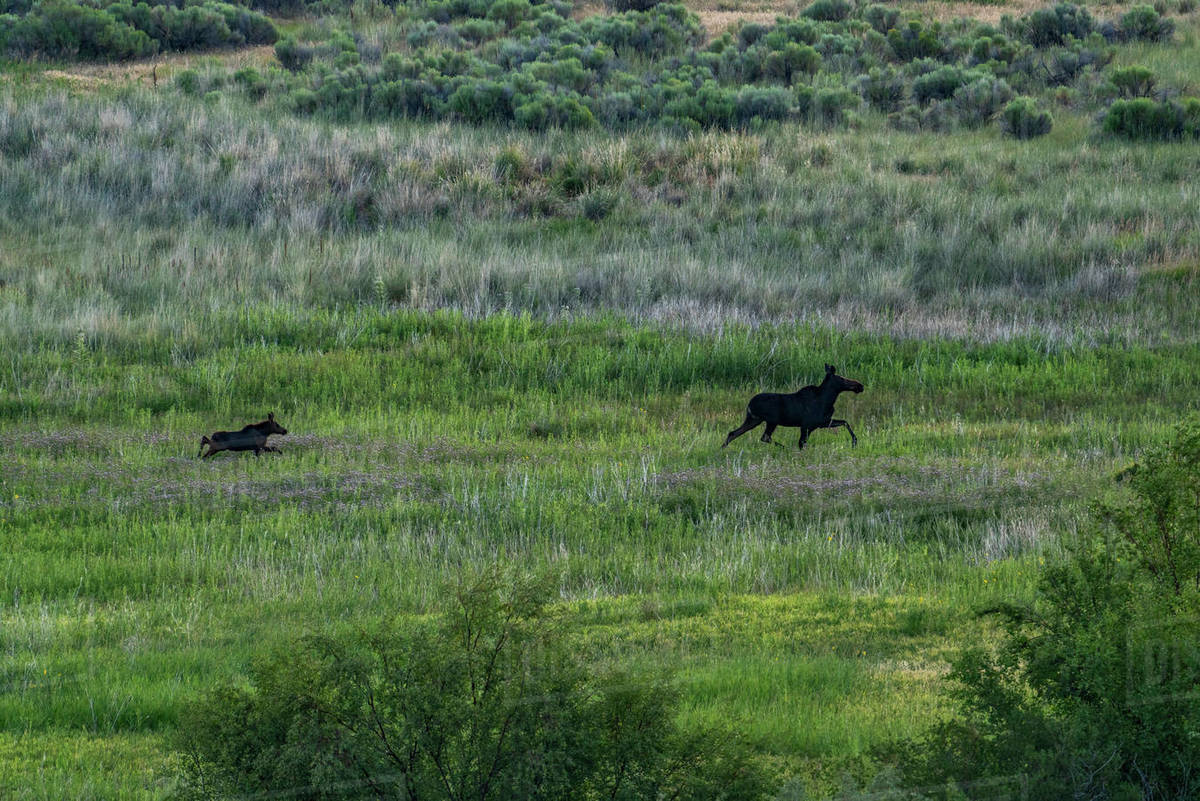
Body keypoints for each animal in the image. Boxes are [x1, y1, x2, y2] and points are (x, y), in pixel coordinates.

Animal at [722, 364, 864, 451]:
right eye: (842, 378)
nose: (860, 385)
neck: (828, 399)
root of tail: (749, 404)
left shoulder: (821, 423)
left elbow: (845, 422)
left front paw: (855, 441)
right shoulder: (807, 425)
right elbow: (801, 443)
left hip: (754, 420)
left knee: (733, 433)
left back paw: (722, 449)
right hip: (771, 420)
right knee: (765, 437)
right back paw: (785, 448)